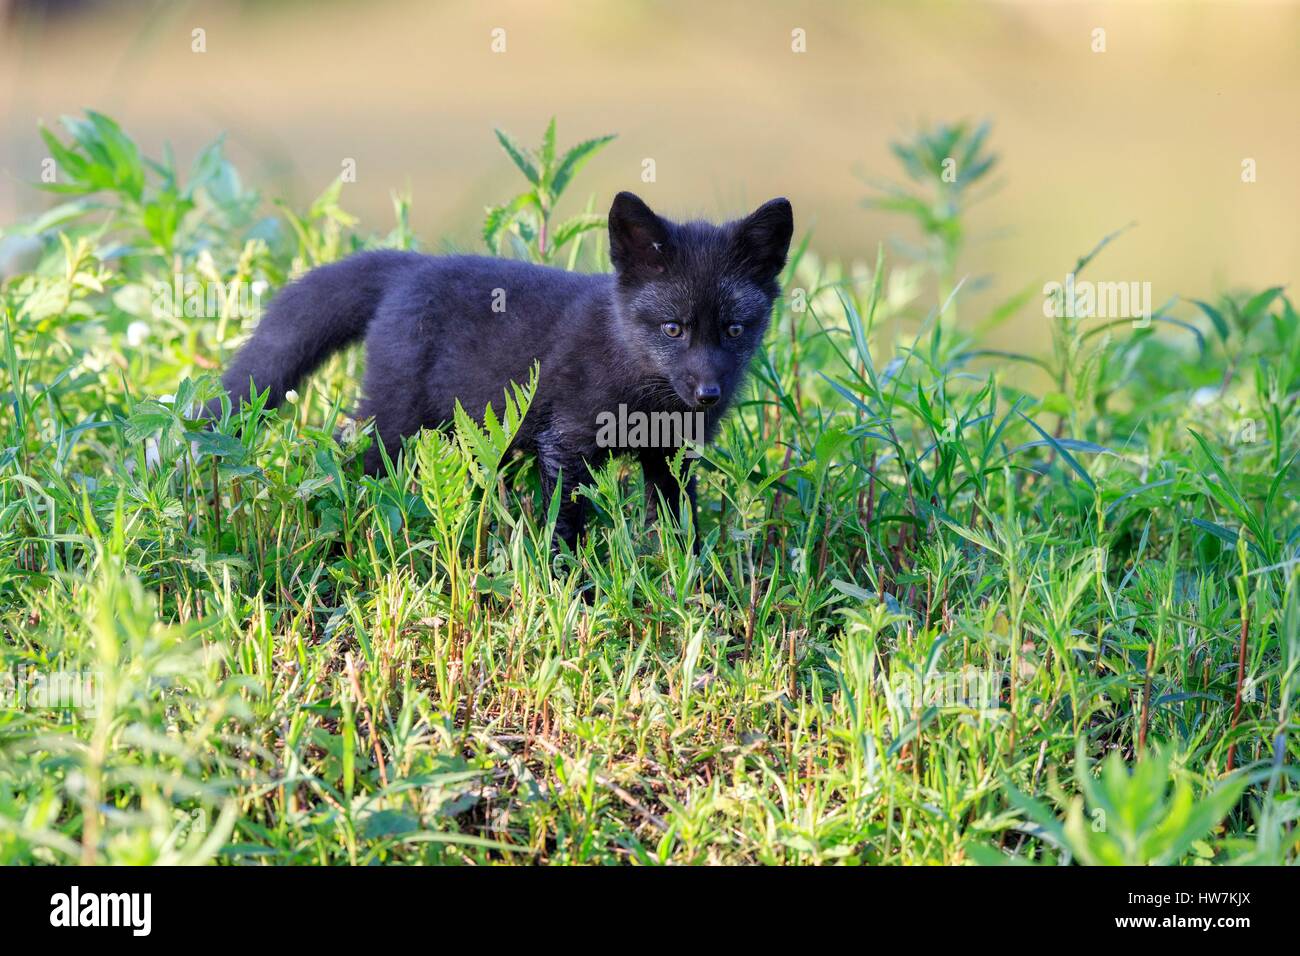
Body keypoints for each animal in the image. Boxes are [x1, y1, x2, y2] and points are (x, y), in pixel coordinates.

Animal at [207, 191, 793, 550]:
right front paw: (571, 589)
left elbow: (679, 522)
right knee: (352, 466)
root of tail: (412, 265)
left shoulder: (672, 454)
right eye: (673, 328)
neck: (638, 379)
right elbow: (564, 524)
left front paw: (688, 580)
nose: (709, 394)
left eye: (734, 330)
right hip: (394, 424)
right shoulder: (567, 443)